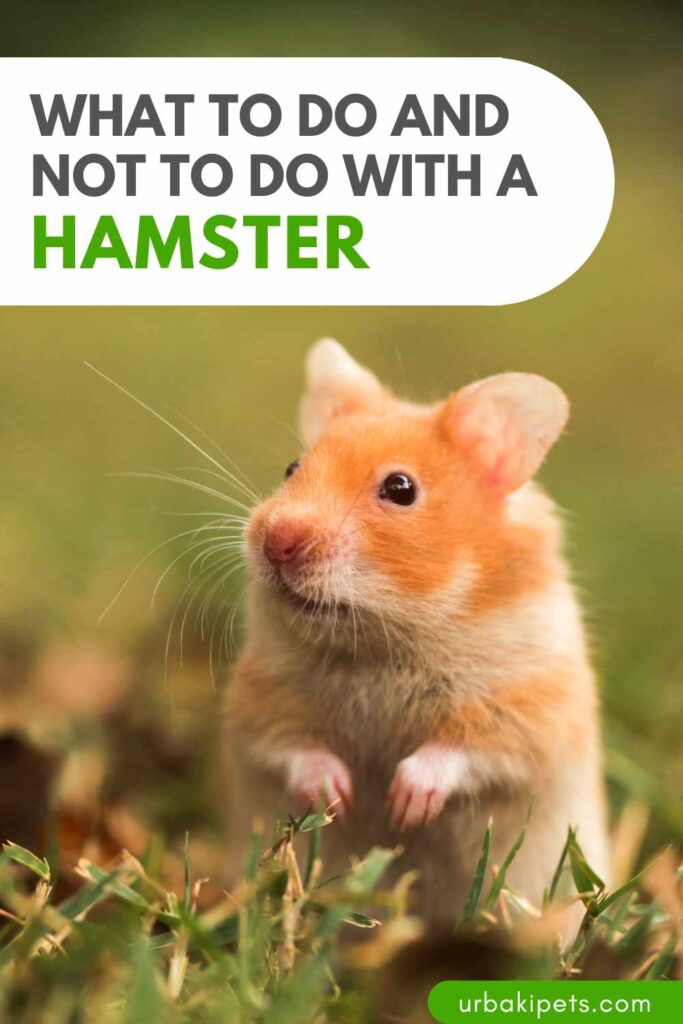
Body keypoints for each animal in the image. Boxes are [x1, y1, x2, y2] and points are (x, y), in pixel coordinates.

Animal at [222, 339, 609, 928]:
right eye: (291, 467)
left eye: (400, 488)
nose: (278, 541)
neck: (383, 642)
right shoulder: (261, 699)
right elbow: (293, 746)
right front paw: (339, 797)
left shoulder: (530, 709)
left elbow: (463, 750)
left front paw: (404, 806)